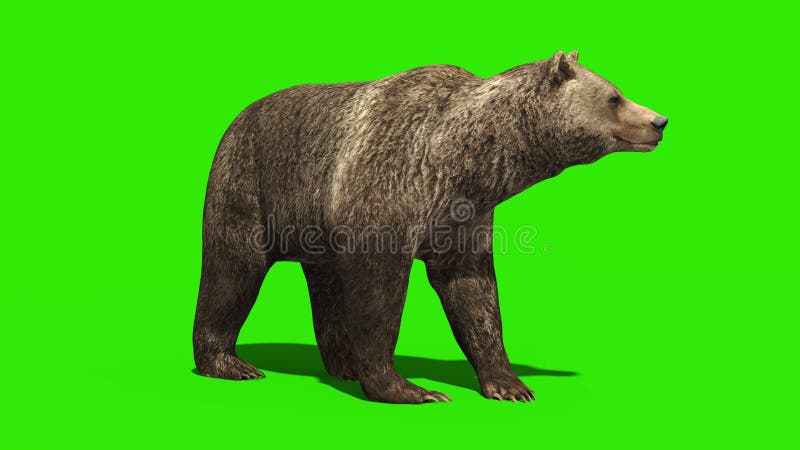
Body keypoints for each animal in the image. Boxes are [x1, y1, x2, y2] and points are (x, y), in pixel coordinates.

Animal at [193, 51, 668, 403]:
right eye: (614, 97)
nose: (659, 121)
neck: (464, 160)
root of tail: (239, 115)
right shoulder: (389, 184)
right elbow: (379, 294)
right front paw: (412, 389)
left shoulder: (463, 215)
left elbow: (473, 291)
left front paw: (509, 384)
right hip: (248, 183)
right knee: (232, 272)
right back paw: (231, 364)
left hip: (314, 225)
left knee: (324, 283)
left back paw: (343, 365)